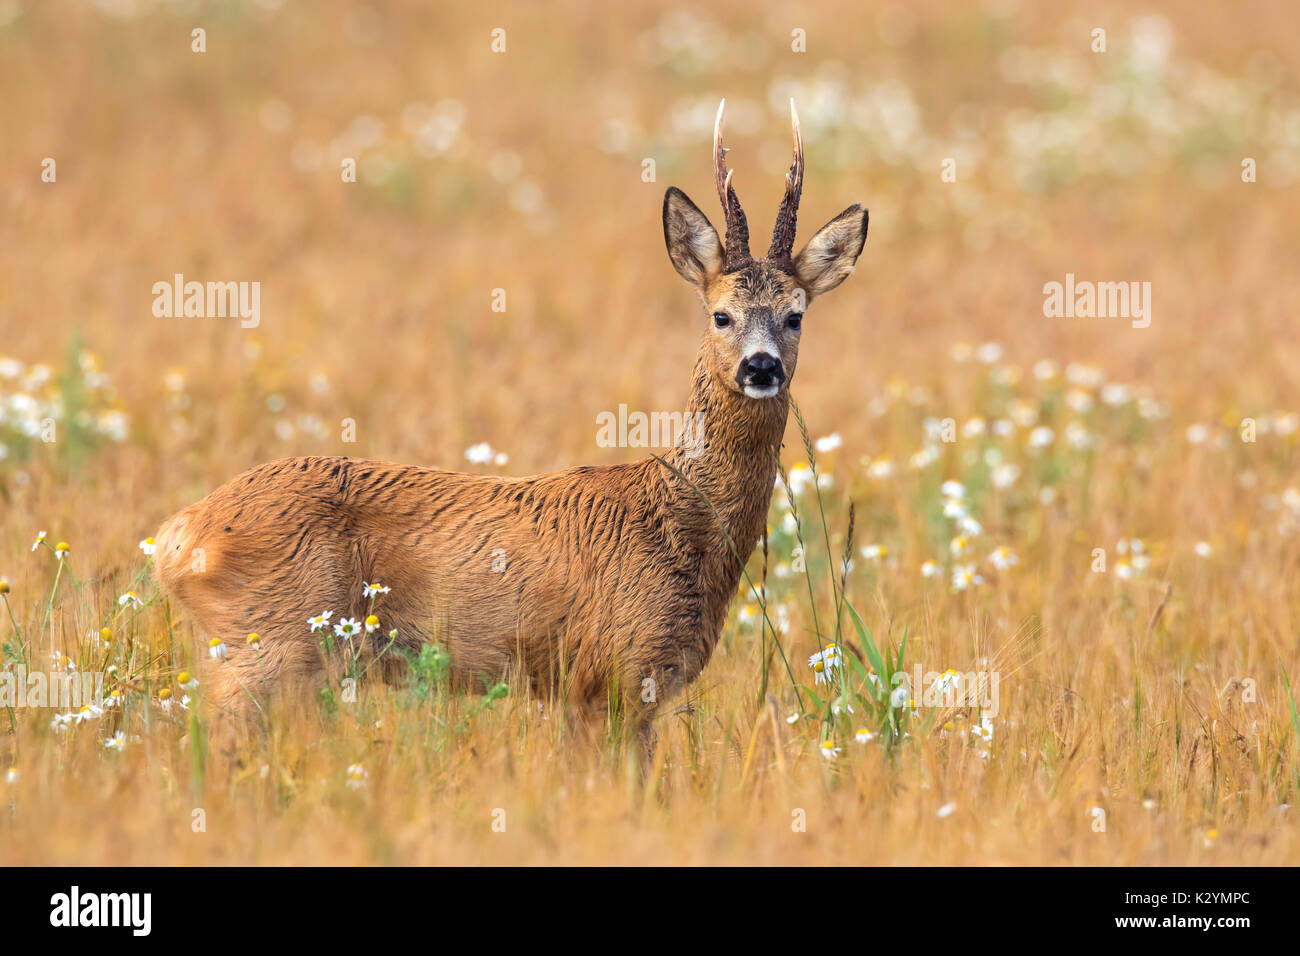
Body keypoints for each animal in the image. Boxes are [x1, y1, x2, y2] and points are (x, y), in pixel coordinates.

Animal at [153, 99, 869, 748]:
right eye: (721, 314)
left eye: (796, 314)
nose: (761, 366)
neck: (680, 519)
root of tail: (177, 537)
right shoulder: (611, 676)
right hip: (268, 644)